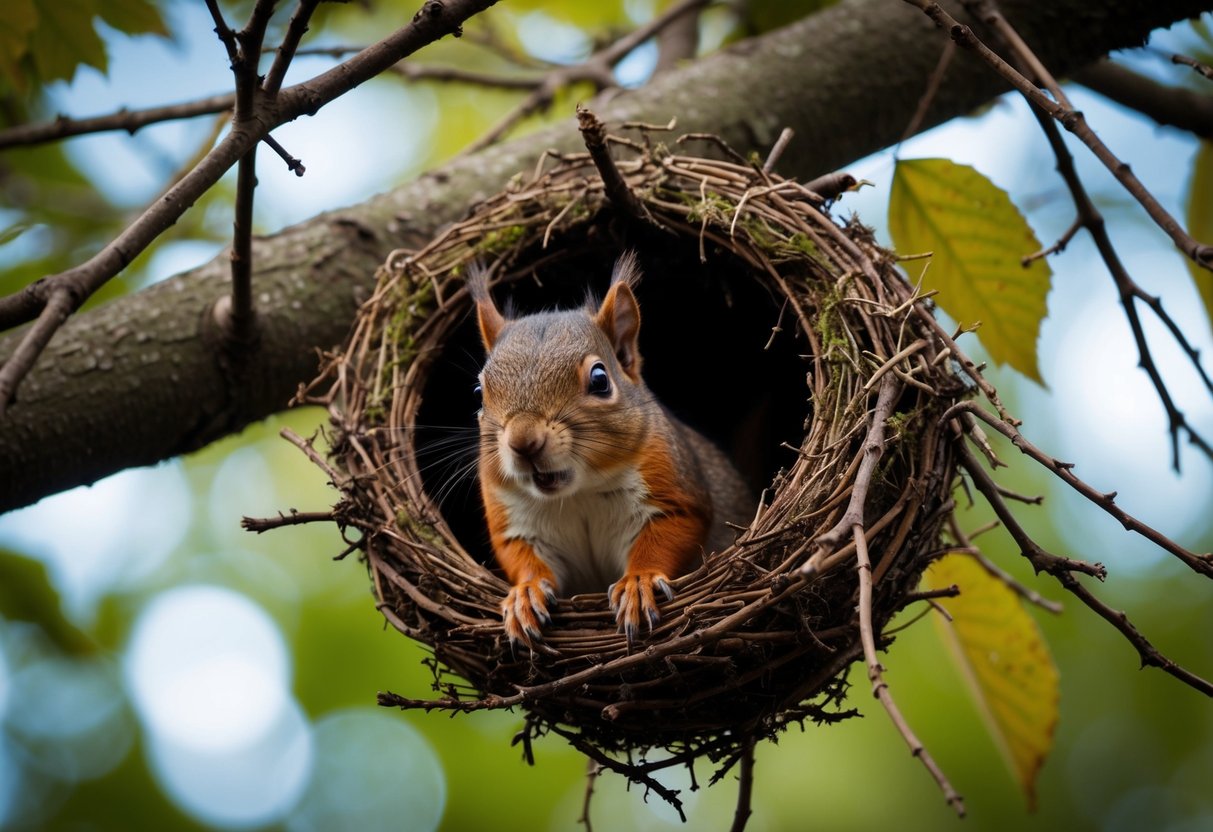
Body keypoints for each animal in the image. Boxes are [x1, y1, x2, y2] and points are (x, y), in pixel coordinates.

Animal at [466, 252, 755, 646]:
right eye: (479, 393)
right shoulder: (514, 521)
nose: (523, 442)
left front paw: (638, 582)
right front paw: (526, 592)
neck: (577, 493)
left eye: (600, 380)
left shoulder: (673, 496)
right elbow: (524, 559)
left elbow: (665, 539)